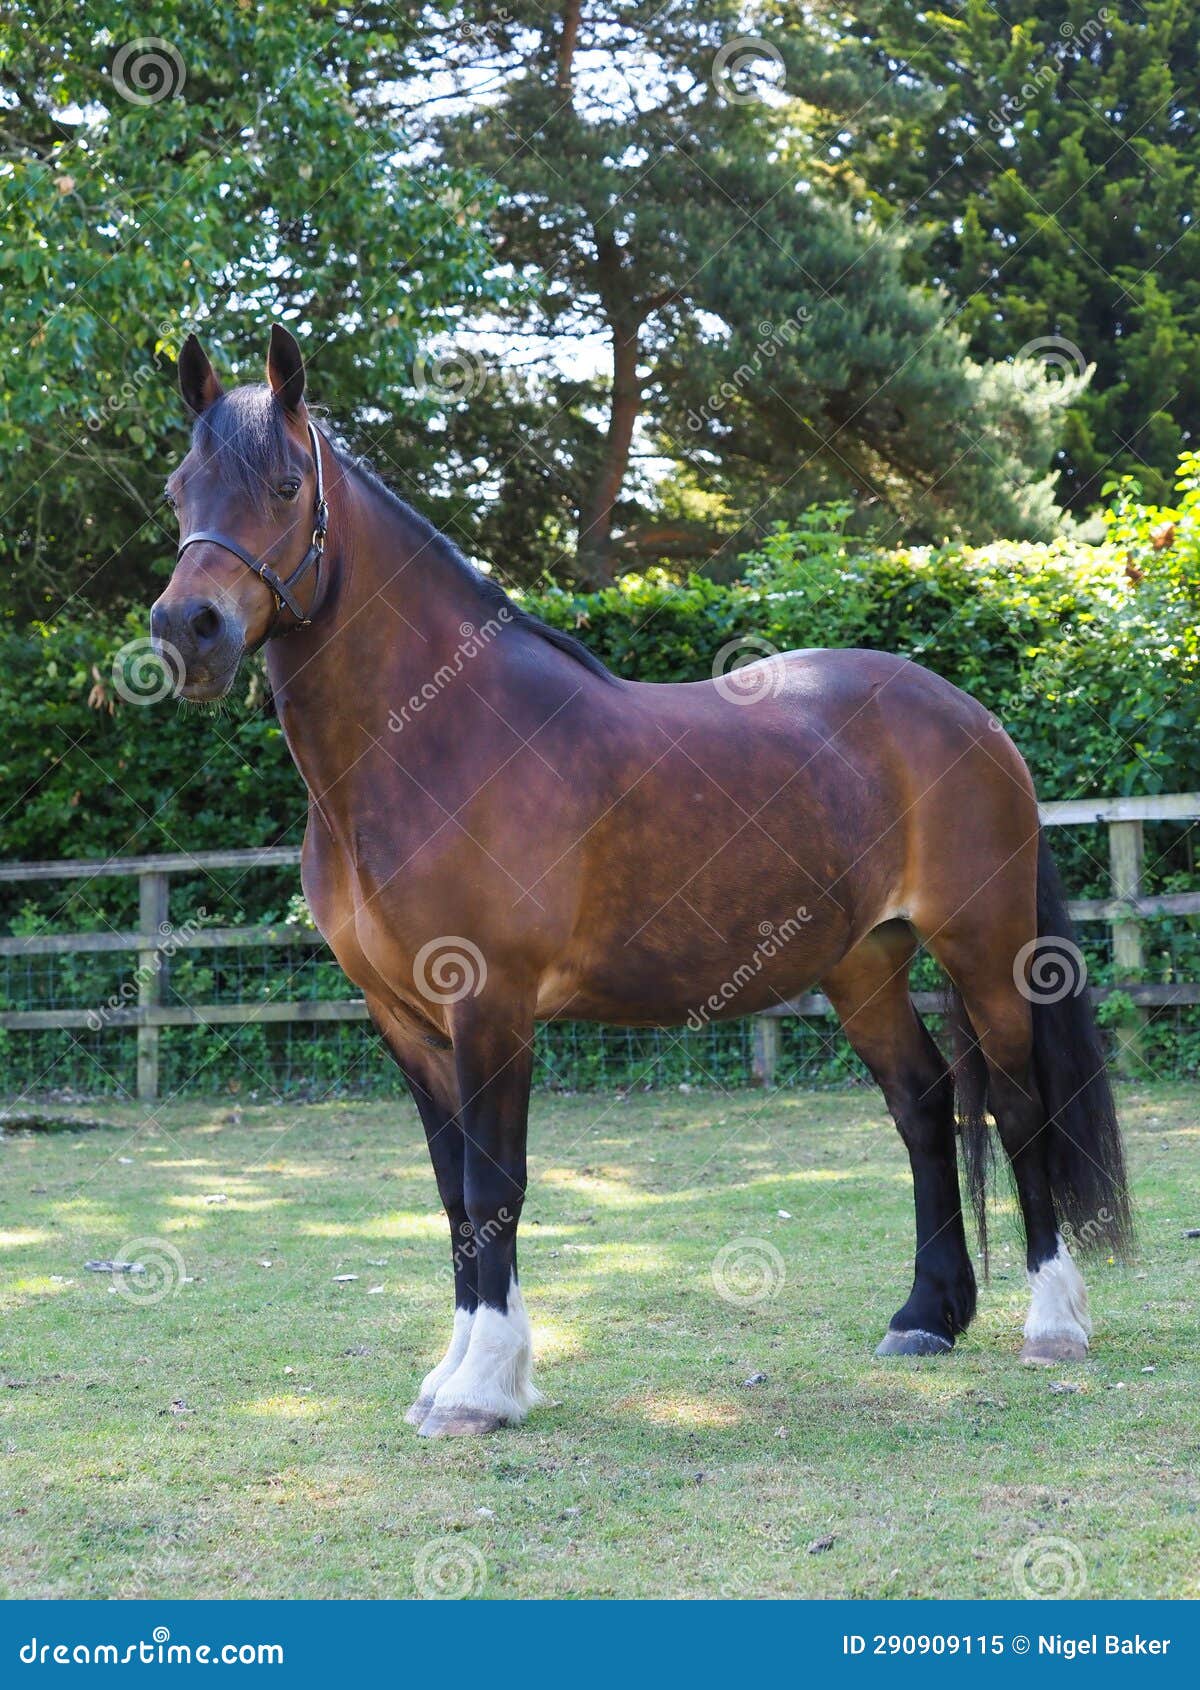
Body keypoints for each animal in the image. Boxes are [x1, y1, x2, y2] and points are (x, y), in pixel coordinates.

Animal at [149, 326, 1132, 1437]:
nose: (188, 630)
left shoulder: (489, 1004)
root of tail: (973, 717)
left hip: (985, 948)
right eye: (180, 489)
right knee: (925, 1108)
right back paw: (926, 1316)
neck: (430, 738)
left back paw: (1053, 1324)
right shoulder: (403, 1018)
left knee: (1017, 1106)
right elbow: (451, 1192)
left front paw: (485, 1388)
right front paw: (452, 1376)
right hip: (863, 964)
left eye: (283, 486)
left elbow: (493, 1184)